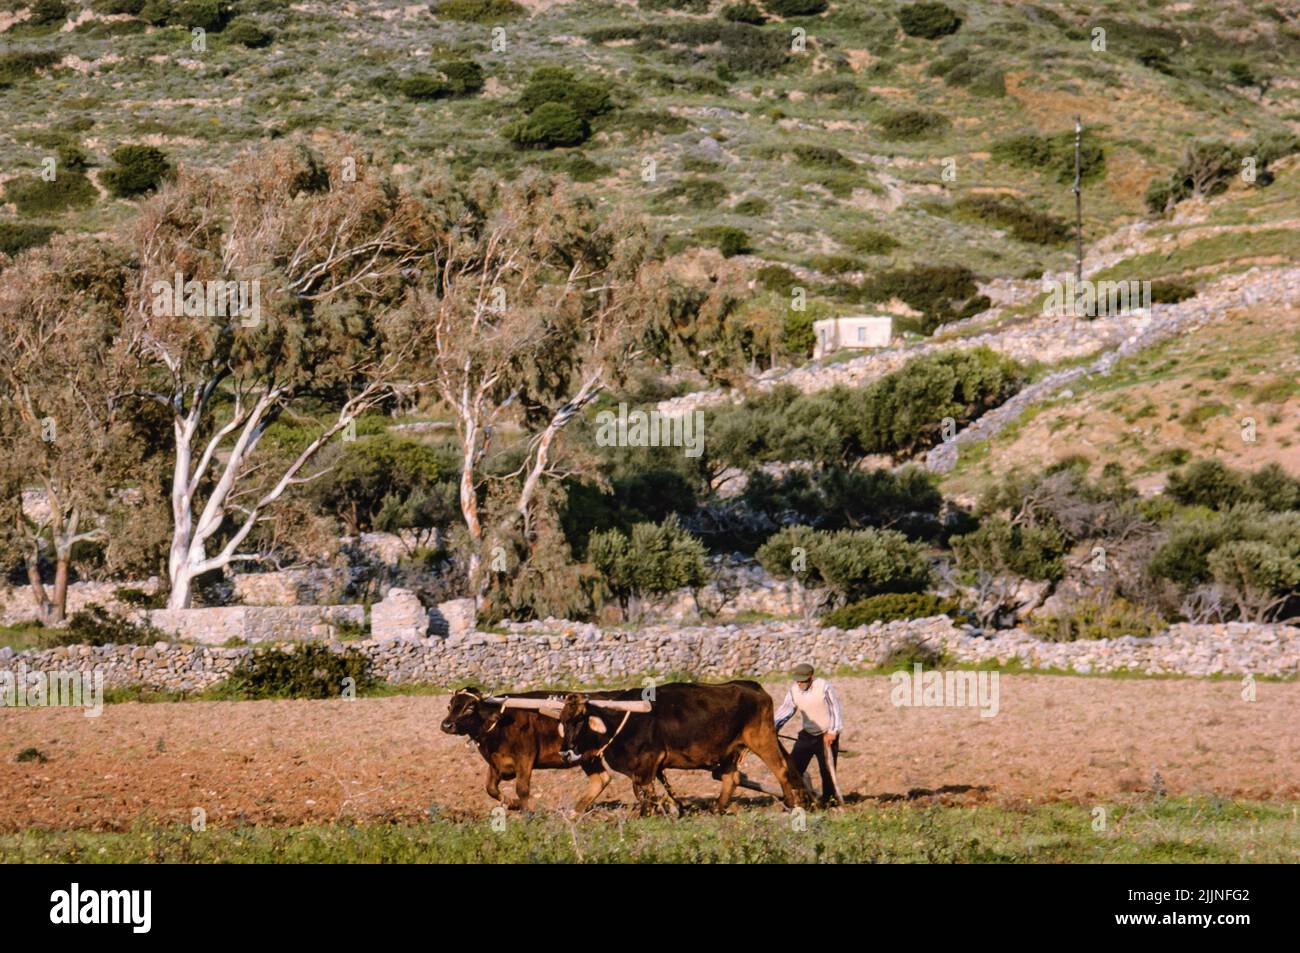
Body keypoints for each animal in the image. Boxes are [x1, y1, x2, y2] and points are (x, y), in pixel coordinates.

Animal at [509, 681, 812, 815]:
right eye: (561, 720)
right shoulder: (648, 769)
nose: (565, 751)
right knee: (732, 777)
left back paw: (793, 804)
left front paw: (647, 814)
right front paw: (670, 808)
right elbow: (650, 792)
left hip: (762, 739)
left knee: (783, 770)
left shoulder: (645, 764)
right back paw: (717, 808)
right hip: (730, 750)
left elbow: (643, 794)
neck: (620, 720)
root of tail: (752, 686)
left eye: (581, 720)